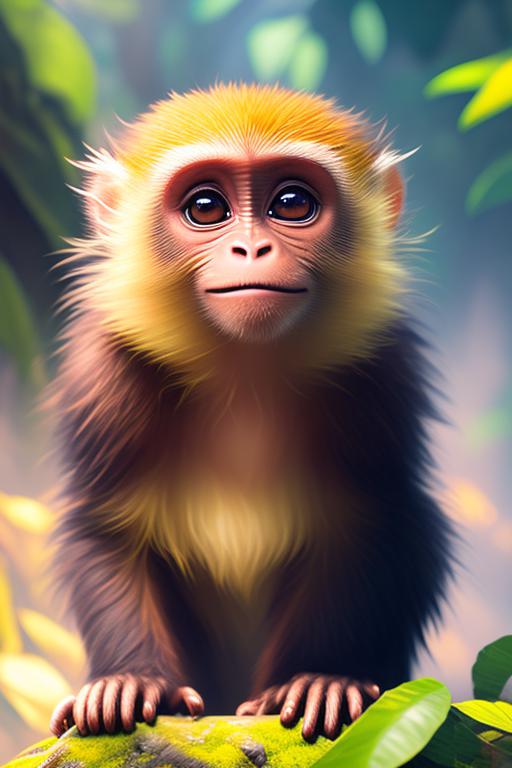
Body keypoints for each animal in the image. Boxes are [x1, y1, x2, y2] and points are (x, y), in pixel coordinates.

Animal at [47, 83, 454, 743]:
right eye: (206, 207)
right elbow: (106, 527)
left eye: (292, 203)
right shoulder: (104, 370)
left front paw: (320, 680)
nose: (251, 248)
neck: (244, 377)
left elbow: (375, 520)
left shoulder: (382, 367)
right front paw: (130, 681)